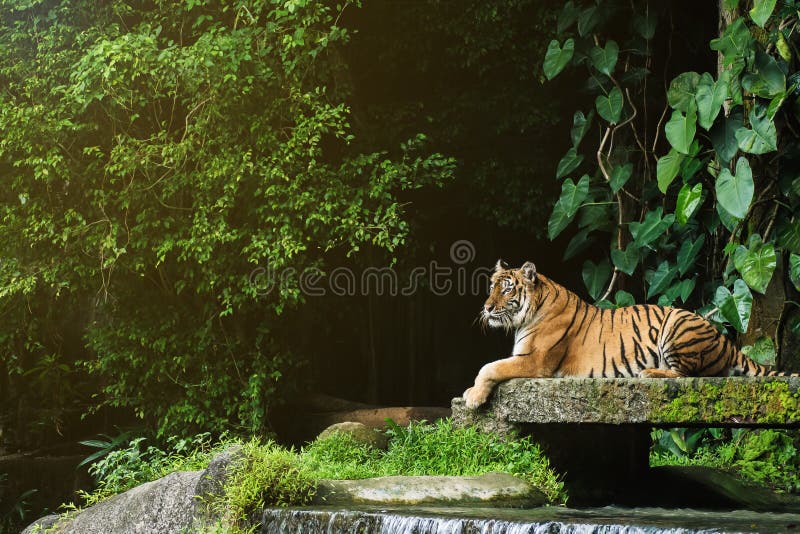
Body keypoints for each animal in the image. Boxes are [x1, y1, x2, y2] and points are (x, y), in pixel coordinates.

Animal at [462, 259, 796, 409]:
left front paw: (473, 397)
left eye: (507, 289)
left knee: (686, 374)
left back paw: (649, 373)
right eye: (491, 285)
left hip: (676, 323)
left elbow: (489, 367)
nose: (486, 307)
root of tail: (725, 340)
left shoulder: (535, 361)